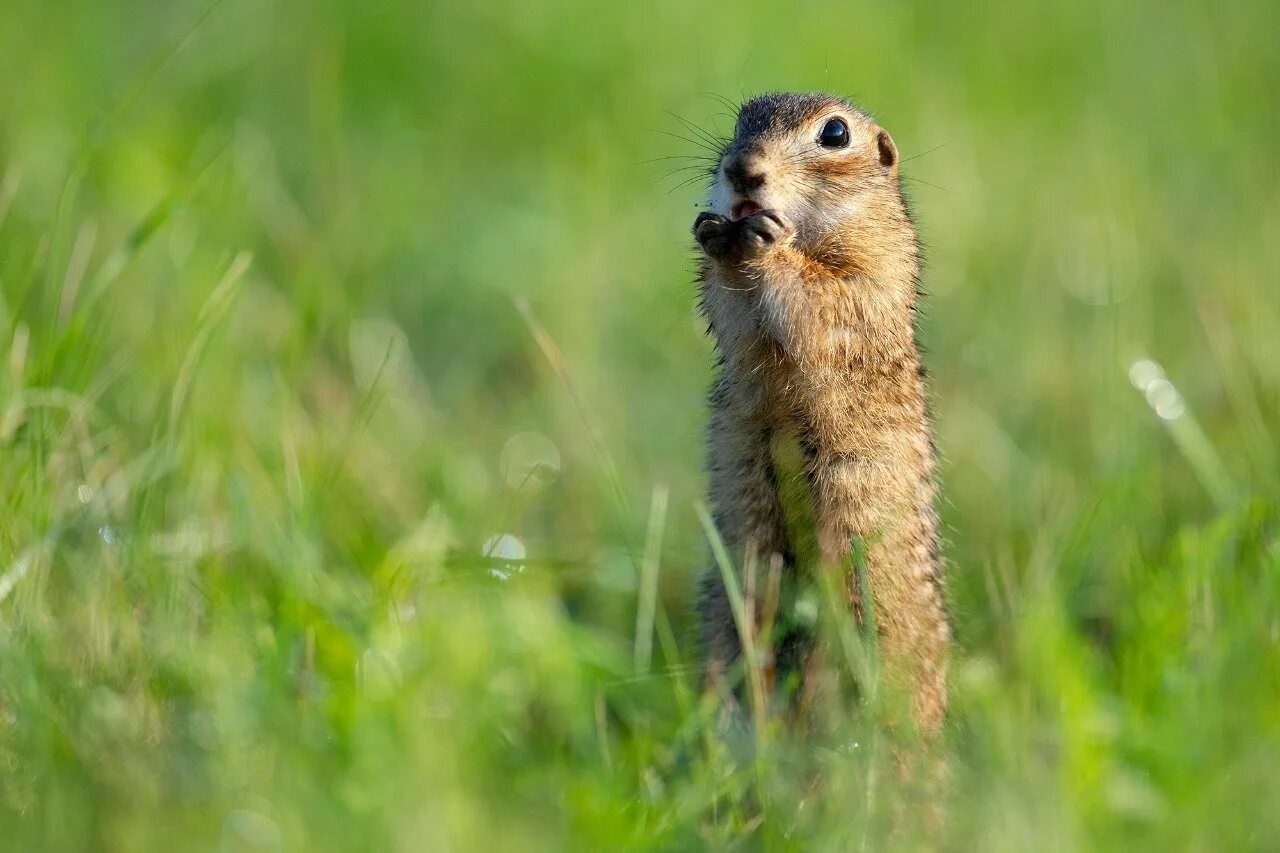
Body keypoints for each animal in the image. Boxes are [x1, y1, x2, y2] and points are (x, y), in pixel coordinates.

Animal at [691, 91, 952, 732]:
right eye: (739, 121)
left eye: (834, 133)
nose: (742, 169)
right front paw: (716, 234)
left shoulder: (876, 269)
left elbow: (831, 295)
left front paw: (767, 247)